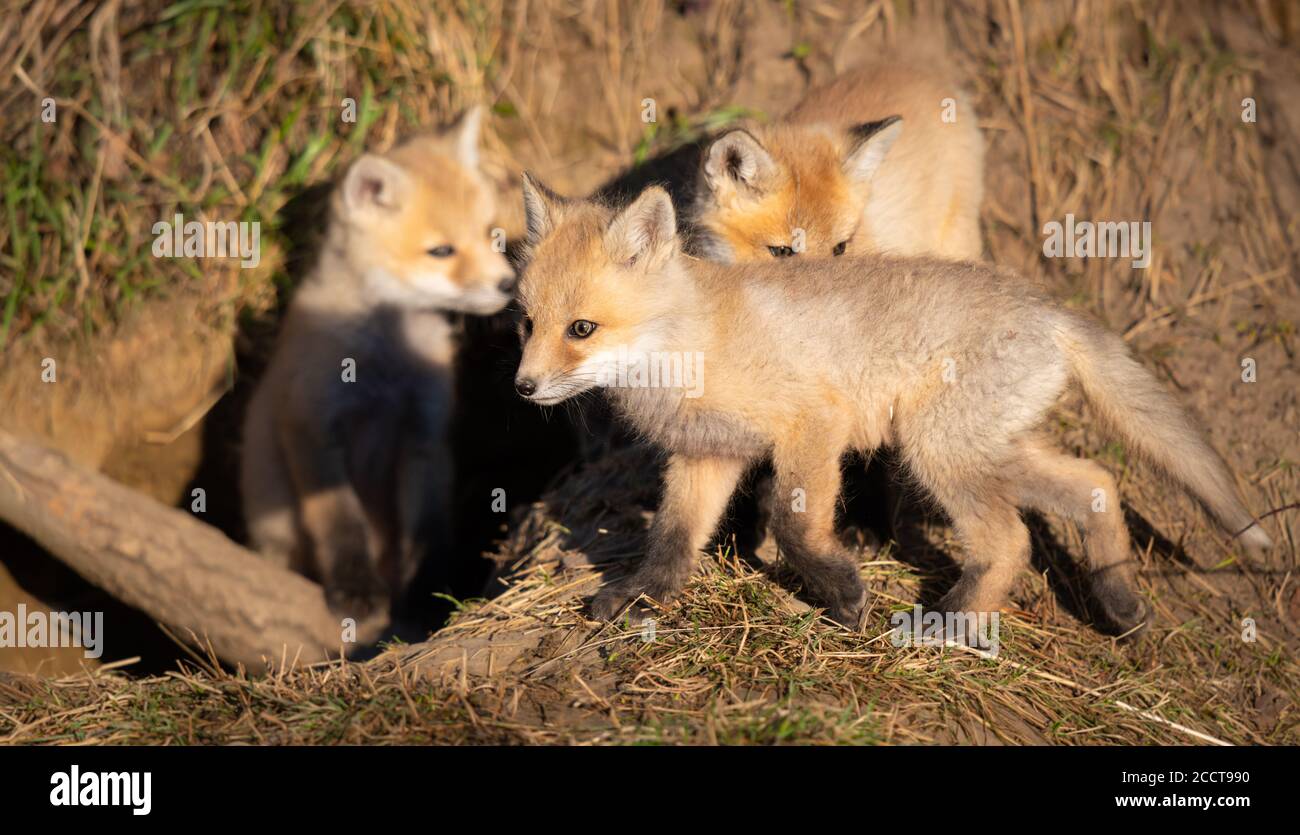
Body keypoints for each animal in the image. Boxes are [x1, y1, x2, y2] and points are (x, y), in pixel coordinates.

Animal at [240, 107, 515, 628]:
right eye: (441, 251)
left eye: (492, 231)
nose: (509, 284)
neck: (388, 361)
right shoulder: (312, 424)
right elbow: (339, 520)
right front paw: (356, 589)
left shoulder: (424, 432)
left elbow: (427, 529)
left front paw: (427, 597)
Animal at [512, 177, 1272, 635]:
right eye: (526, 324)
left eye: (581, 329)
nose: (522, 387)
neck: (690, 348)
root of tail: (1046, 306)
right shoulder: (707, 455)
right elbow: (671, 541)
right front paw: (641, 597)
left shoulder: (812, 424)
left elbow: (794, 525)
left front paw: (844, 592)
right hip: (991, 449)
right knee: (1096, 484)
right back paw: (1121, 603)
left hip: (936, 450)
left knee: (1012, 540)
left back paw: (950, 624)